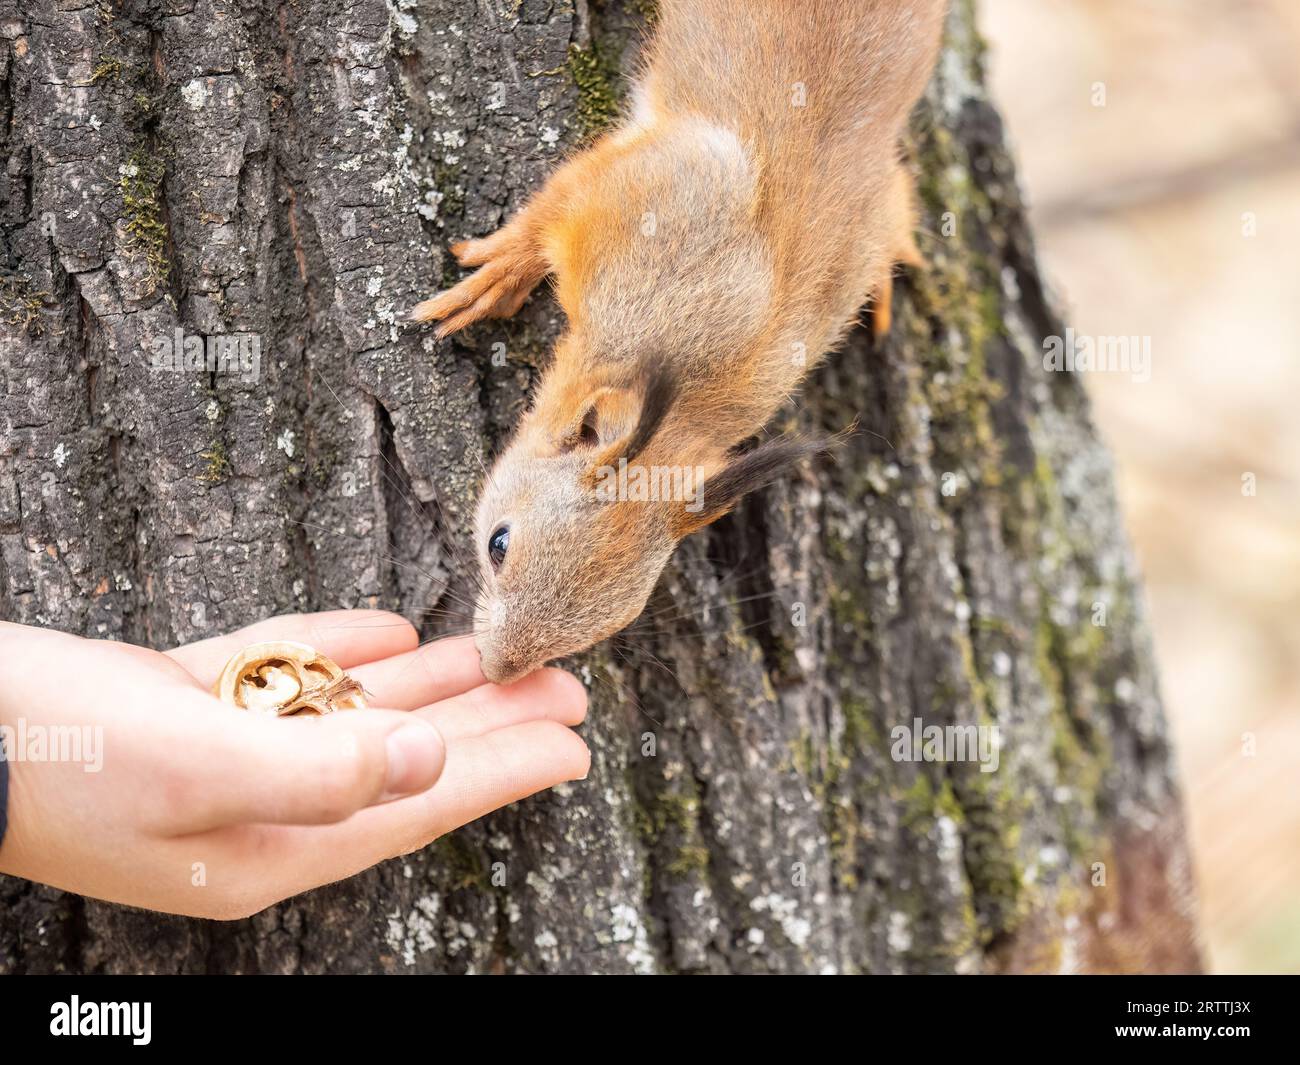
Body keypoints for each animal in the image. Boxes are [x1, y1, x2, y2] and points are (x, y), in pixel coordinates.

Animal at [413, 0, 947, 684]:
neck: (700, 348)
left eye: (614, 623)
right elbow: (557, 206)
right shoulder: (655, 184)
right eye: (497, 545)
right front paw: (502, 272)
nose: (498, 670)